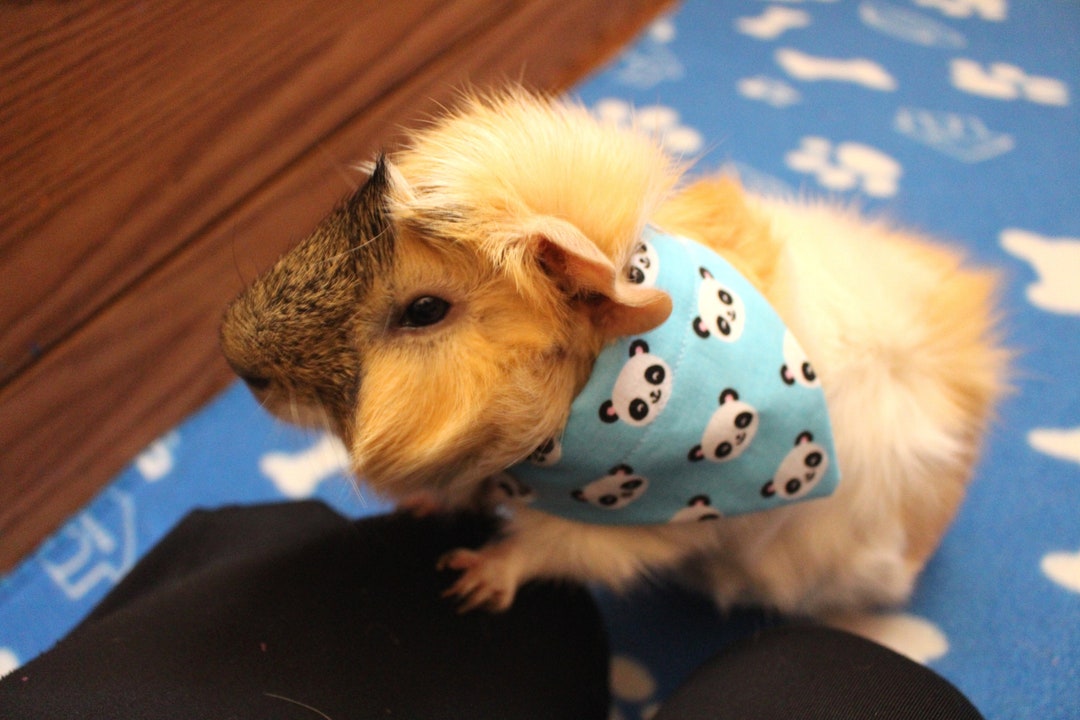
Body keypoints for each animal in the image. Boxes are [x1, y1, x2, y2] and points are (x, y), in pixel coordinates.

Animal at [221, 88, 1008, 617]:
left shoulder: (625, 536)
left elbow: (542, 550)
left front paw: (469, 581)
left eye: (424, 310)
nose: (237, 361)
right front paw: (423, 510)